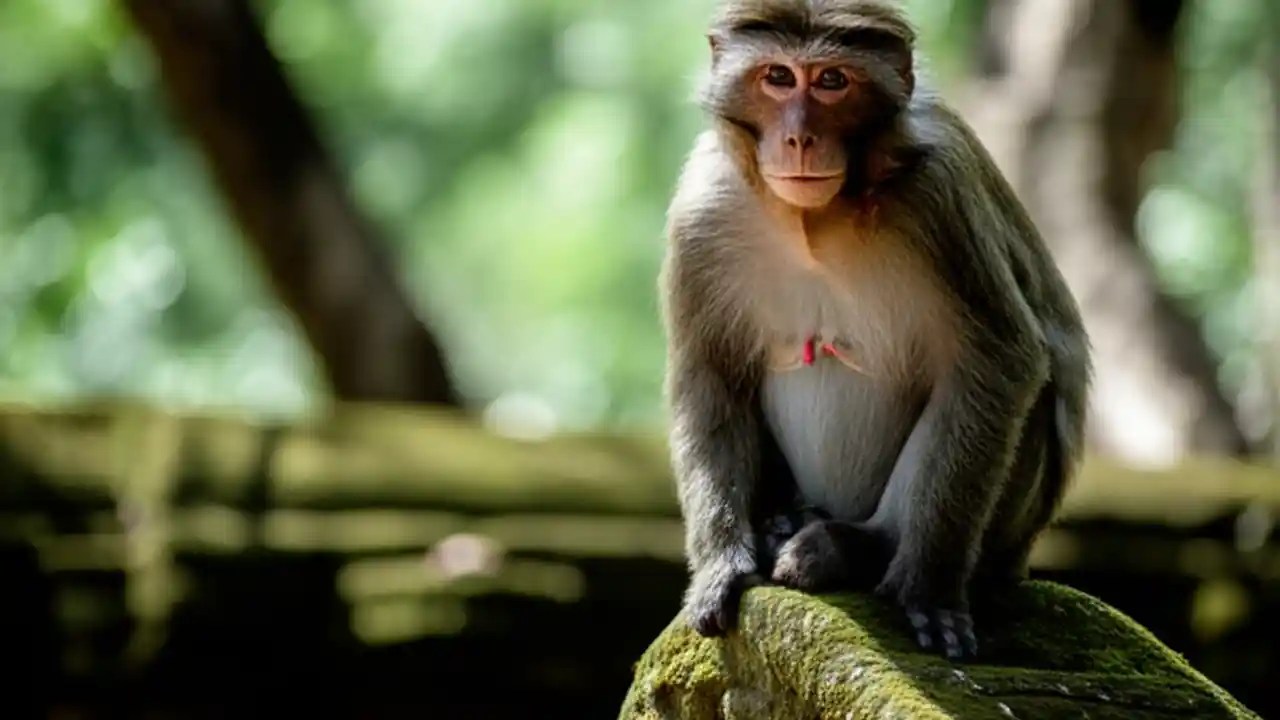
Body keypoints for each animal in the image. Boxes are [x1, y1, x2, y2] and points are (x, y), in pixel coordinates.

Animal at [659, 0, 1090, 660]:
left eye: (833, 81)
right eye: (777, 77)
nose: (799, 137)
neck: (815, 220)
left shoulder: (940, 197)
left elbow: (1000, 361)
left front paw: (928, 590)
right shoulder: (701, 210)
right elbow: (710, 375)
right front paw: (721, 566)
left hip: (1003, 540)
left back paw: (855, 547)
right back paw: (788, 520)